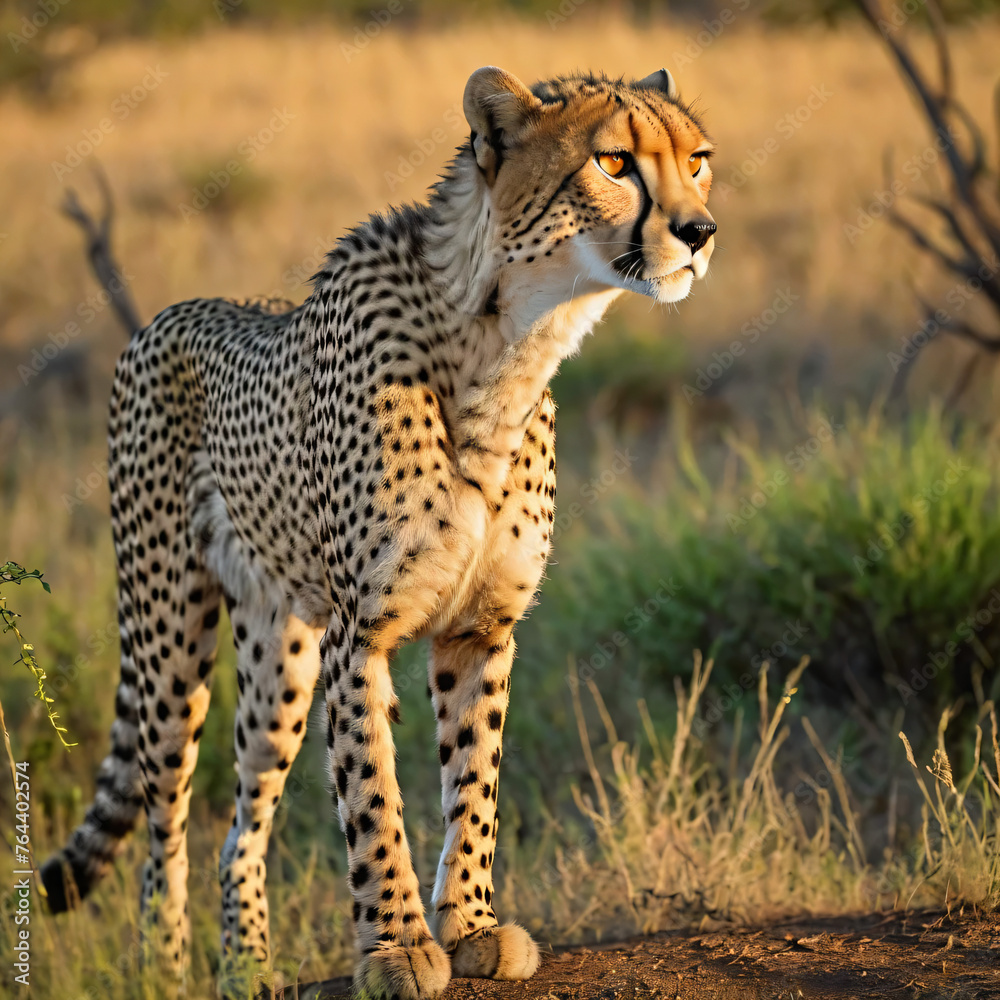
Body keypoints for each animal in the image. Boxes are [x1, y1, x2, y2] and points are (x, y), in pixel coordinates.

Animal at [40, 65, 716, 999]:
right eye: (614, 161)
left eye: (698, 159)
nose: (701, 231)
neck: (505, 346)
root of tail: (168, 314)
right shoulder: (359, 633)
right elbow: (372, 791)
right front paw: (395, 945)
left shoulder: (479, 627)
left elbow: (474, 780)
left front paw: (471, 925)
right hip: (169, 636)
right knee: (163, 816)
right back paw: (164, 968)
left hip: (278, 658)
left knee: (240, 822)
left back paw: (248, 965)